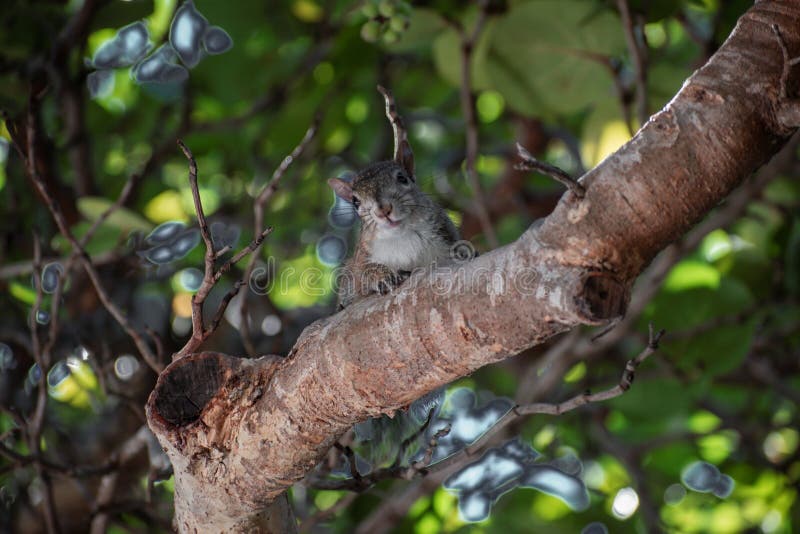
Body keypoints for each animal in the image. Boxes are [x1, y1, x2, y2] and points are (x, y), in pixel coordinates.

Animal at [328, 136, 460, 309]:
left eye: (402, 178)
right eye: (355, 202)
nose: (383, 210)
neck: (401, 236)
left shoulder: (446, 234)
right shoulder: (359, 260)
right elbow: (361, 273)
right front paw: (382, 275)